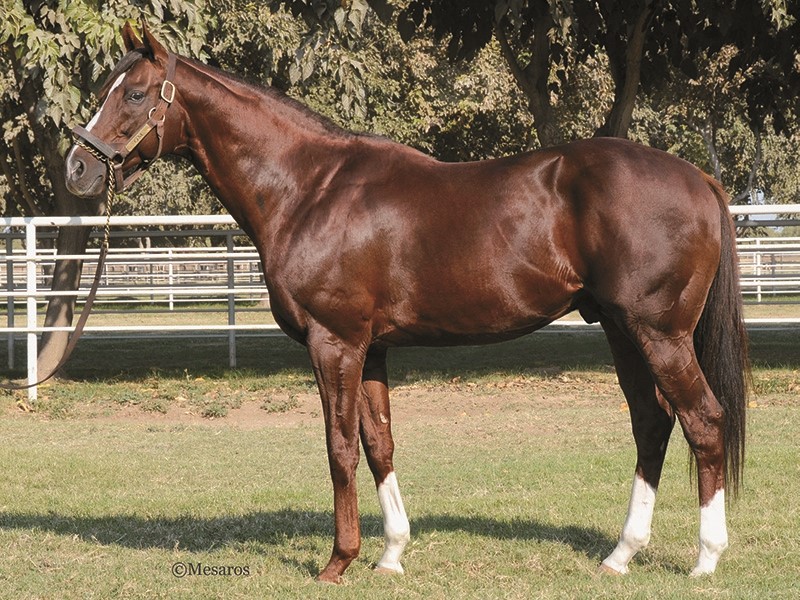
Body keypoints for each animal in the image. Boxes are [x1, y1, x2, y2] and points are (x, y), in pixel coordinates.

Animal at [65, 23, 749, 583]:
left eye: (133, 94)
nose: (77, 168)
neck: (309, 189)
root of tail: (699, 178)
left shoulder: (334, 342)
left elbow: (339, 446)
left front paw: (338, 562)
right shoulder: (370, 349)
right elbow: (379, 444)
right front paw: (391, 553)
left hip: (657, 333)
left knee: (704, 421)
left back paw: (706, 559)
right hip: (620, 330)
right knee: (653, 423)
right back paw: (621, 555)